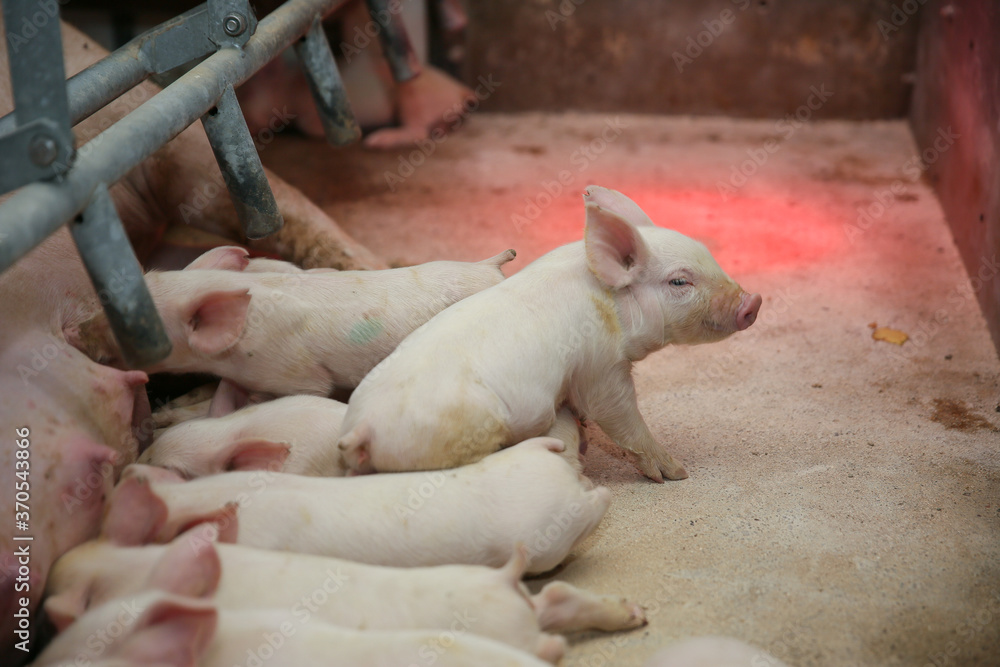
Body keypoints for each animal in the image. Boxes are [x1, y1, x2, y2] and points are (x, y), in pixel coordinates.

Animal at [338, 185, 762, 482]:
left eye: (708, 254)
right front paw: (677, 472)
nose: (753, 301)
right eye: (679, 281)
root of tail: (360, 429)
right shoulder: (600, 368)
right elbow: (620, 416)